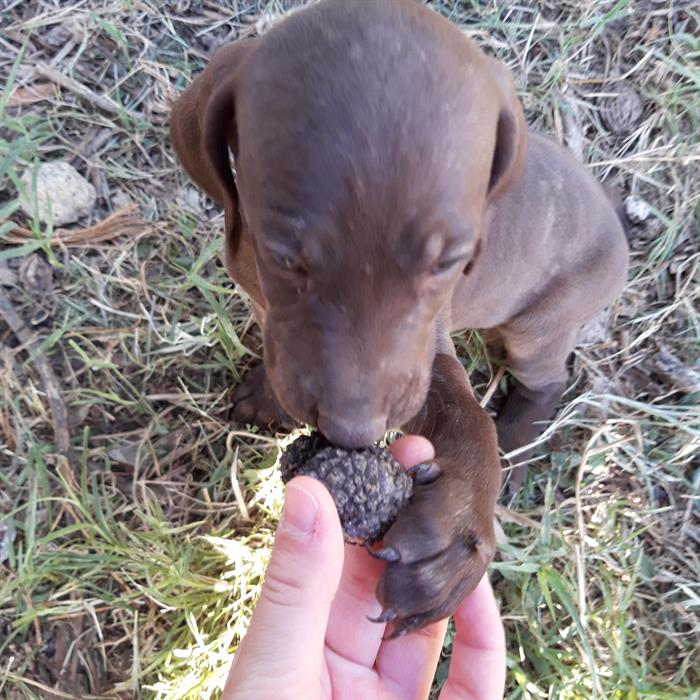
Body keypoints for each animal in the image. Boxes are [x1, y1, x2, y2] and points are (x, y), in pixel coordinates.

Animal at [170, 0, 628, 636]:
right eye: (282, 255)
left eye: (451, 261)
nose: (352, 433)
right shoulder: (265, 299)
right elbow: (279, 349)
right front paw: (266, 394)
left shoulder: (425, 354)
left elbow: (466, 415)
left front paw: (458, 528)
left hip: (540, 326)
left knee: (548, 379)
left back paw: (513, 443)